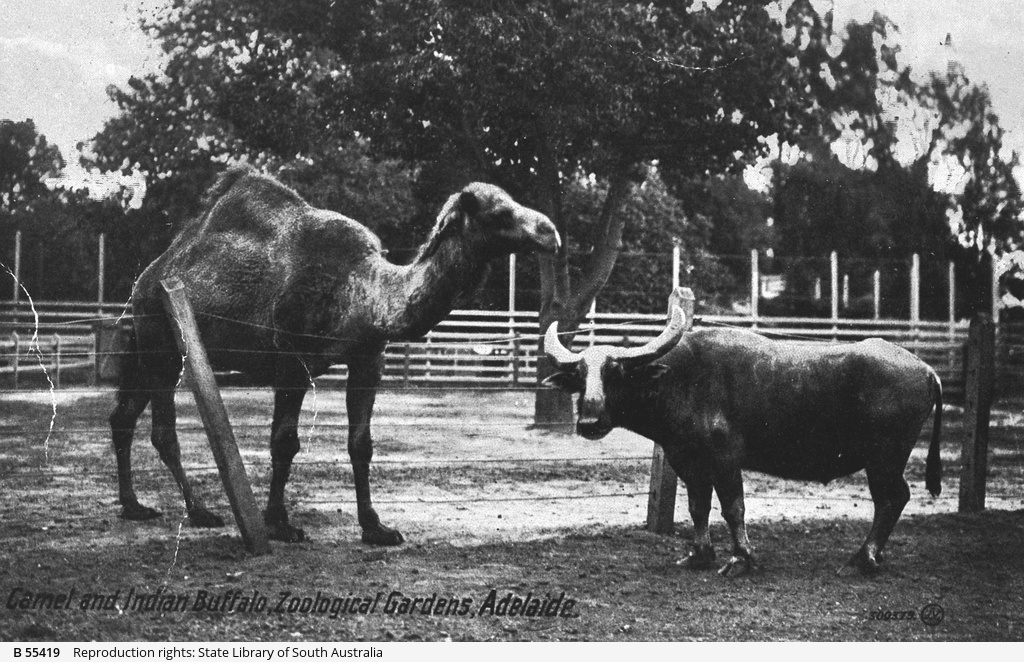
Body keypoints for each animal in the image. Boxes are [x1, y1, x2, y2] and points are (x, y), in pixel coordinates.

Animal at [110, 165, 560, 544]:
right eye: (499, 213)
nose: (551, 233)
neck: (362, 292)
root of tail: (145, 280)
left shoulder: (368, 359)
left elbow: (361, 443)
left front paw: (376, 528)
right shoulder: (292, 361)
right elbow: (284, 442)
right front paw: (280, 524)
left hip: (150, 351)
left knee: (123, 416)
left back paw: (133, 506)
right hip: (161, 343)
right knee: (163, 432)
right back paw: (199, 511)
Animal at [543, 306, 942, 575]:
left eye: (616, 372)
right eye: (580, 376)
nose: (590, 422)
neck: (682, 380)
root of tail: (927, 370)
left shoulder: (725, 461)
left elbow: (733, 508)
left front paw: (740, 559)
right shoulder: (690, 463)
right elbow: (698, 508)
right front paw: (698, 555)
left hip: (884, 458)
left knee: (892, 498)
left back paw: (864, 558)